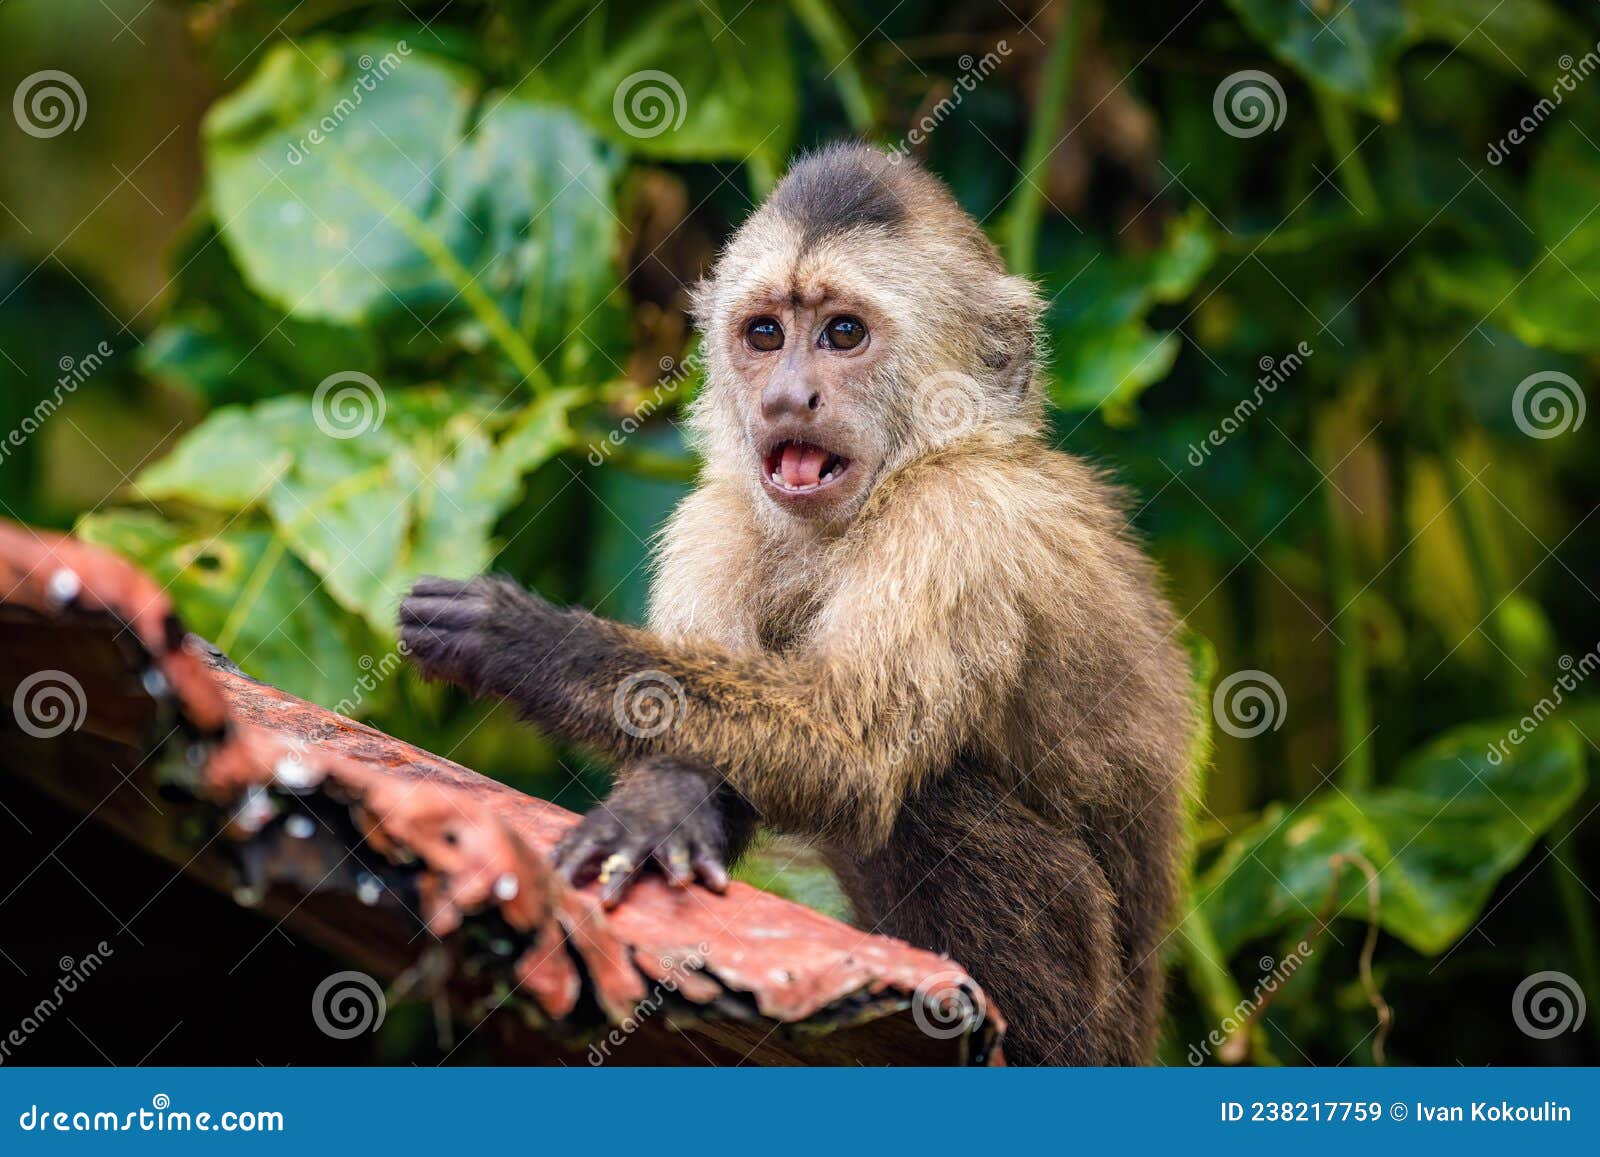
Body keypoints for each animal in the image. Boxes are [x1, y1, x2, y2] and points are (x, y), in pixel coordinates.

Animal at [399, 143, 1198, 1066]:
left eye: (843, 333)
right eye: (766, 334)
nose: (785, 399)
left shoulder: (957, 519)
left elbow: (851, 750)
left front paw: (529, 643)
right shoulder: (714, 516)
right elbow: (695, 731)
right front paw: (660, 810)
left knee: (922, 796)